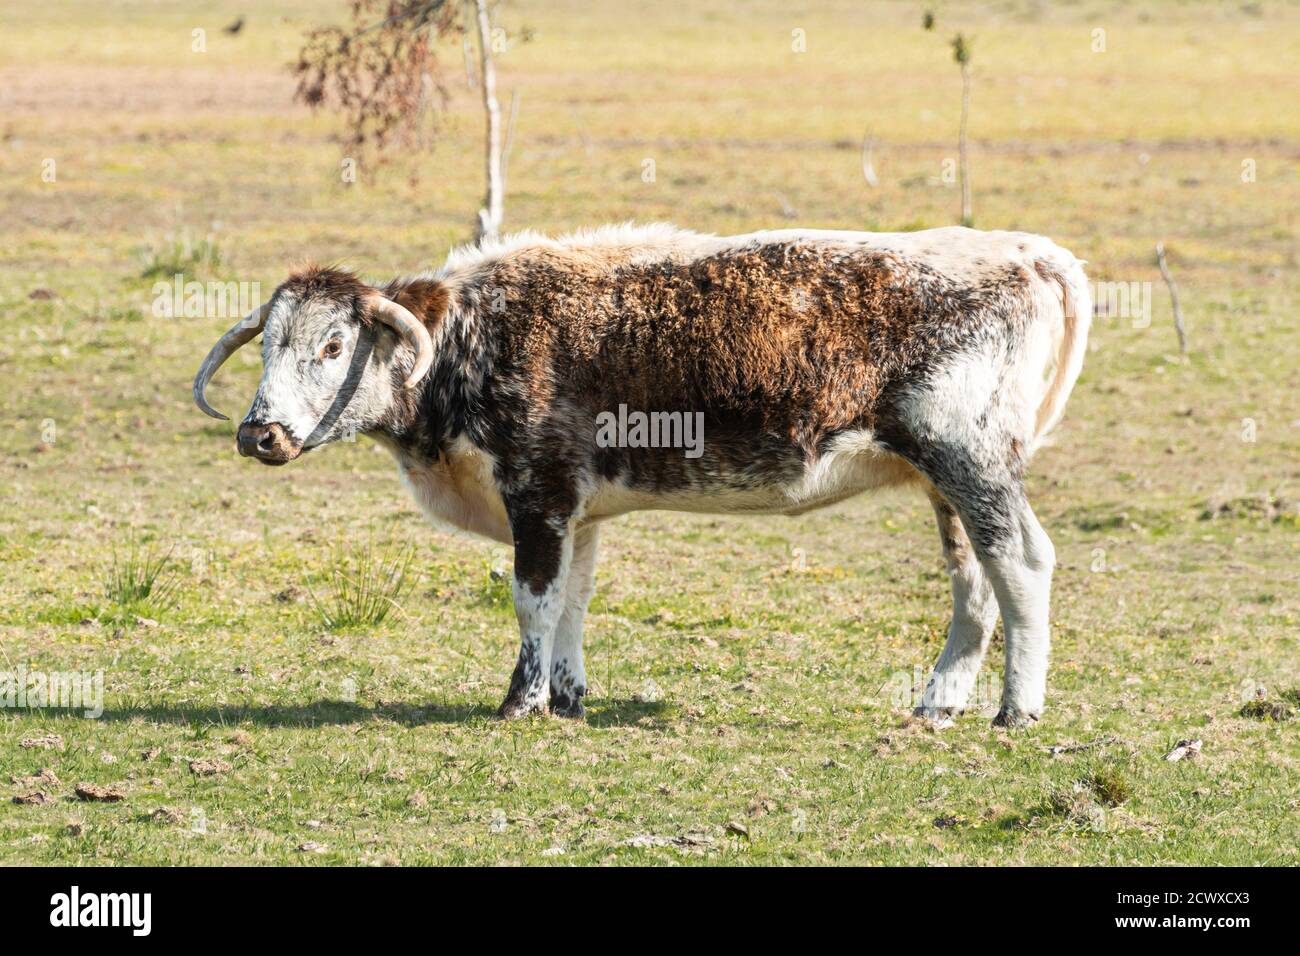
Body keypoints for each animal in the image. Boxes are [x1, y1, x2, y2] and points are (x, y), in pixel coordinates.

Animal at [193, 223, 1090, 727]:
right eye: (270, 346)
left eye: (334, 345)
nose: (258, 432)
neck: (472, 337)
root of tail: (1027, 252)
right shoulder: (578, 512)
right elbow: (573, 604)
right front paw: (567, 698)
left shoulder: (538, 496)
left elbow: (534, 600)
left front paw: (520, 703)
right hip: (945, 484)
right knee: (974, 585)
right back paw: (938, 703)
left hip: (971, 463)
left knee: (1020, 564)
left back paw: (1017, 709)